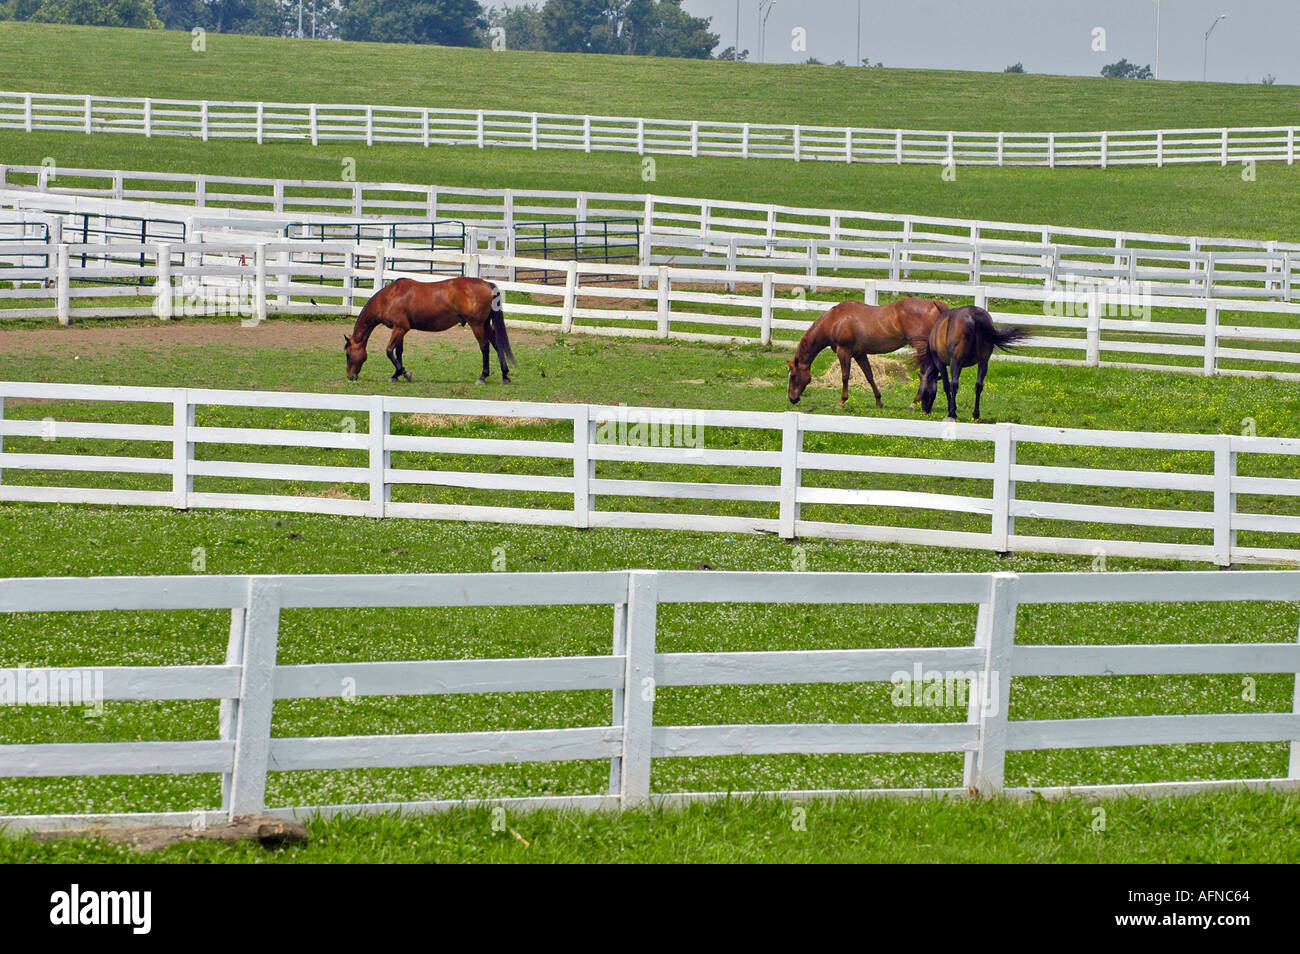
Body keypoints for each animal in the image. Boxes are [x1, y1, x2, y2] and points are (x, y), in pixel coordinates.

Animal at [343, 276, 516, 383]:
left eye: (348, 354)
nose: (350, 376)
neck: (390, 297)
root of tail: (487, 284)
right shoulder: (401, 330)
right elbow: (398, 352)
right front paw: (397, 374)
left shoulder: (400, 329)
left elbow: (389, 351)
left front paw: (405, 374)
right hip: (485, 324)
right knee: (497, 344)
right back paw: (505, 375)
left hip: (477, 324)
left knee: (485, 346)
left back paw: (483, 377)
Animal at [786, 297, 949, 408]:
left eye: (793, 376)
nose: (792, 399)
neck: (834, 320)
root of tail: (934, 304)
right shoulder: (859, 354)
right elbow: (869, 376)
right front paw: (879, 401)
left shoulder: (844, 351)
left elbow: (845, 376)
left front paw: (842, 401)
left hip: (921, 347)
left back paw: (915, 402)